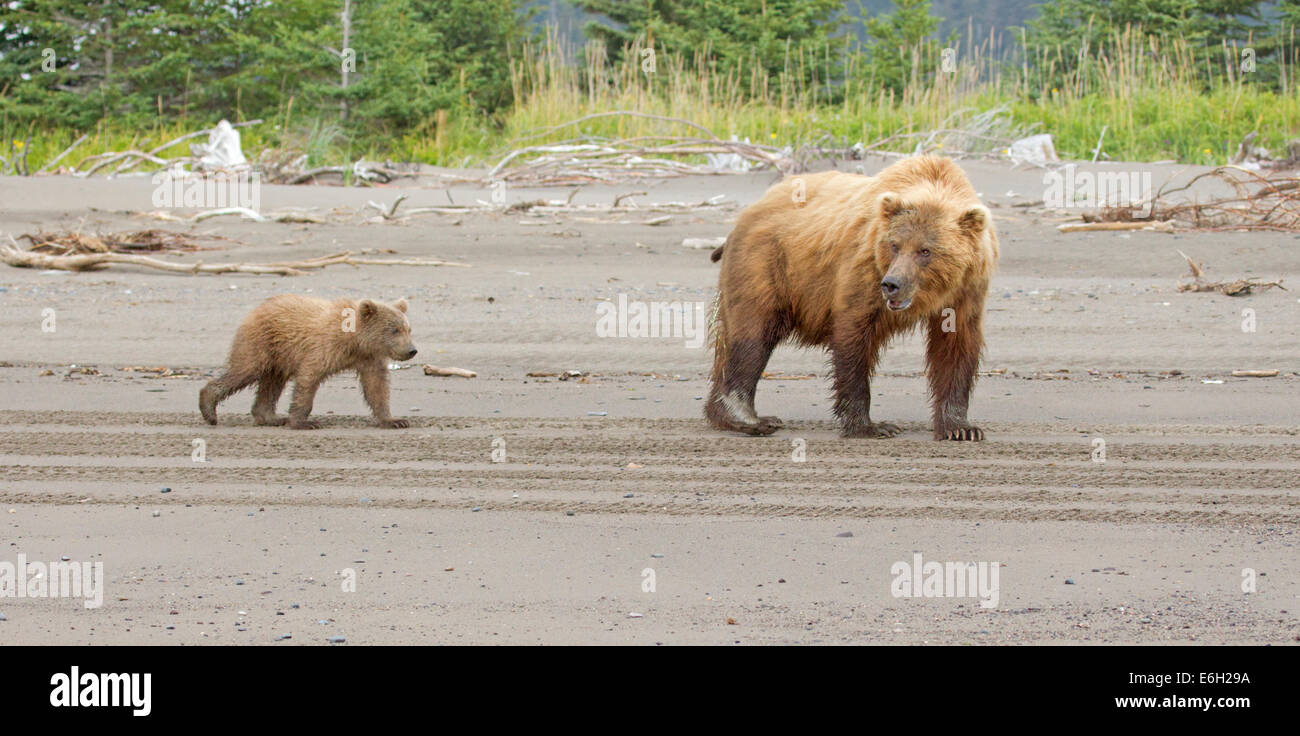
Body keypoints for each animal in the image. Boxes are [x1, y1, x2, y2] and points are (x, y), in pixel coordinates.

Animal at [199, 295, 418, 429]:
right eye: (395, 330)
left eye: (408, 329)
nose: (412, 350)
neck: (354, 341)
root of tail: (256, 309)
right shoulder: (323, 348)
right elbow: (308, 378)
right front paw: (303, 422)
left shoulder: (369, 357)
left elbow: (376, 386)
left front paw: (395, 420)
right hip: (261, 343)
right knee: (245, 370)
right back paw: (209, 408)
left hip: (278, 355)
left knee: (272, 383)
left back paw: (271, 417)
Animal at [706, 155, 998, 440]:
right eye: (894, 245)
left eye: (925, 251)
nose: (892, 284)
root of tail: (746, 215)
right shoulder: (865, 268)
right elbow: (854, 334)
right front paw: (870, 426)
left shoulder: (967, 290)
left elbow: (956, 345)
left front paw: (960, 428)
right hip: (766, 263)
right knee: (753, 334)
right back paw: (749, 418)